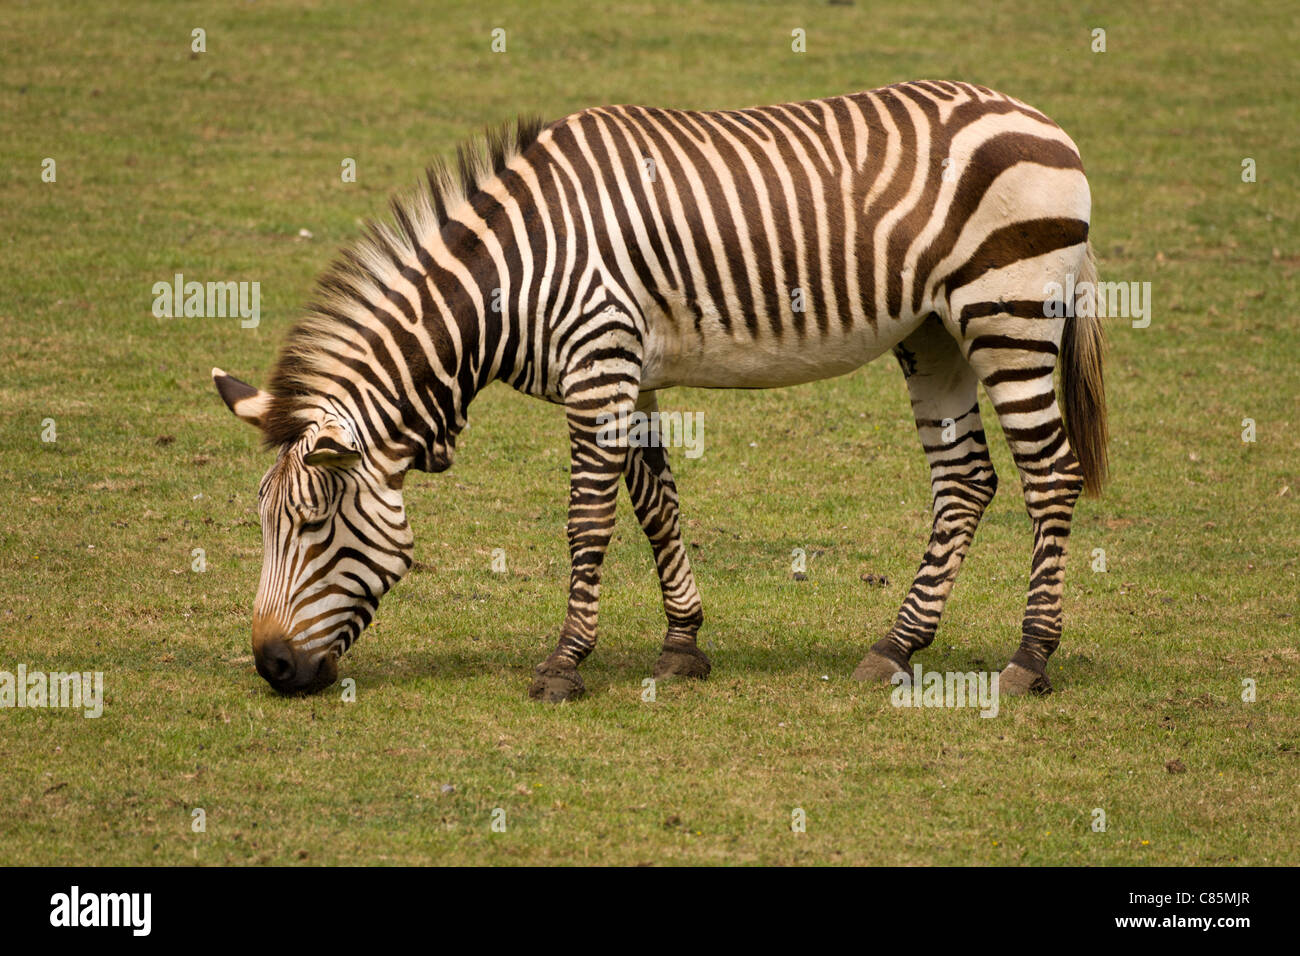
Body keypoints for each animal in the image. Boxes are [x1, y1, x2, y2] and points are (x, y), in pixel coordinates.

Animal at [212, 80, 1107, 701]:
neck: (516, 275)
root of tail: (1037, 117)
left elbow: (588, 521)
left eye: (313, 526)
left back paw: (1030, 657)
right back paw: (896, 647)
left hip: (1007, 312)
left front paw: (564, 664)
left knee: (1050, 475)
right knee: (966, 482)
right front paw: (682, 645)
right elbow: (656, 505)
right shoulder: (625, 372)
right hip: (934, 333)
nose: (271, 666)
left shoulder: (597, 363)